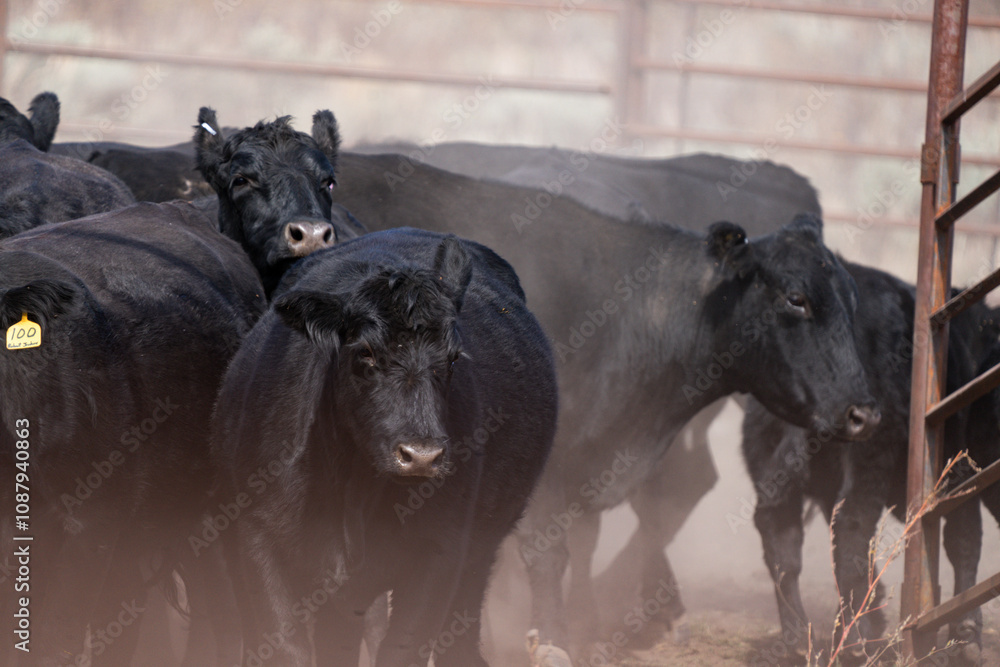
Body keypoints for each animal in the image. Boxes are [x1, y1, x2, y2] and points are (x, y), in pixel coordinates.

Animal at [211, 227, 558, 667]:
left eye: (452, 359)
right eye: (366, 353)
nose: (421, 455)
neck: (353, 491)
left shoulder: (441, 553)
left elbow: (403, 647)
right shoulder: (256, 539)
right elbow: (285, 647)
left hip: (478, 557)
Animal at [741, 262, 1000, 665]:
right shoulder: (957, 469)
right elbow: (964, 537)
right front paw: (966, 634)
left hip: (767, 453)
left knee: (782, 535)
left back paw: (801, 637)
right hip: (870, 455)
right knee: (851, 525)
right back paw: (853, 640)